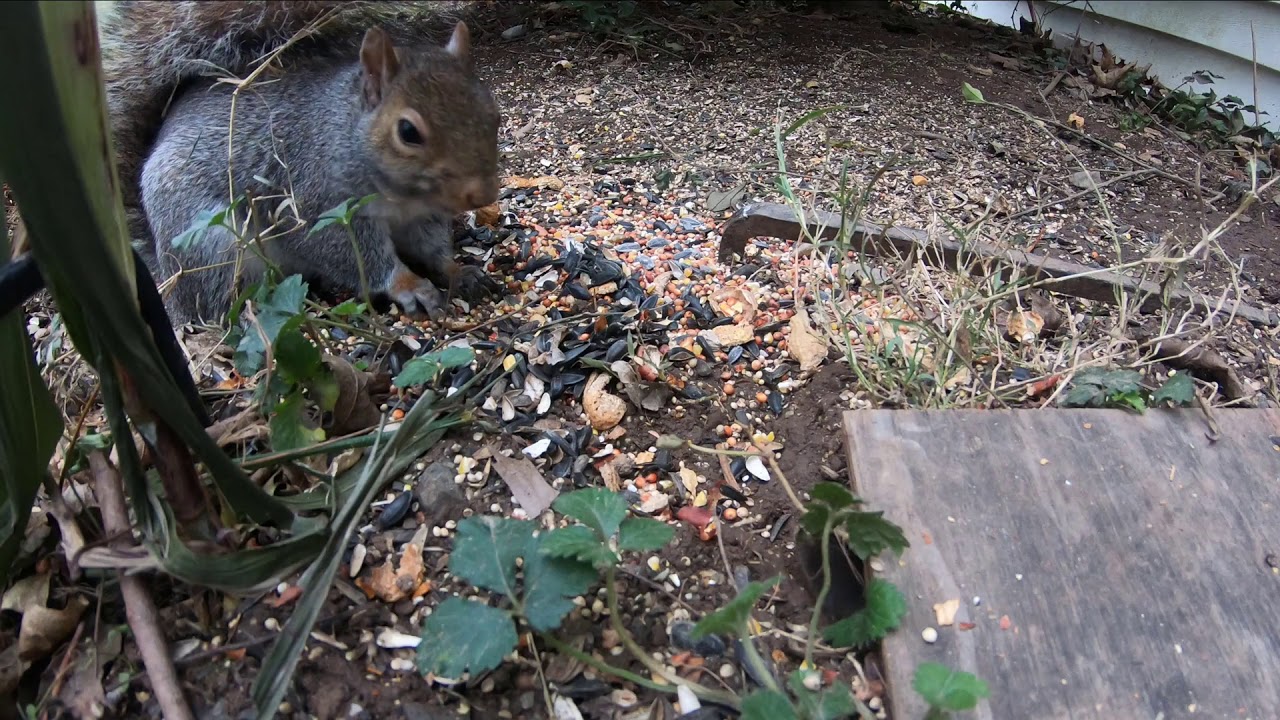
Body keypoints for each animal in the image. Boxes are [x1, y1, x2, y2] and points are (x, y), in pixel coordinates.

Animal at [92, 0, 501, 324]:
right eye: (408, 132)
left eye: (493, 112)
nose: (482, 195)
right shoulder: (317, 204)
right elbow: (349, 253)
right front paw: (411, 285)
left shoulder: (420, 215)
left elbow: (431, 246)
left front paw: (457, 270)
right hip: (211, 243)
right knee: (221, 305)